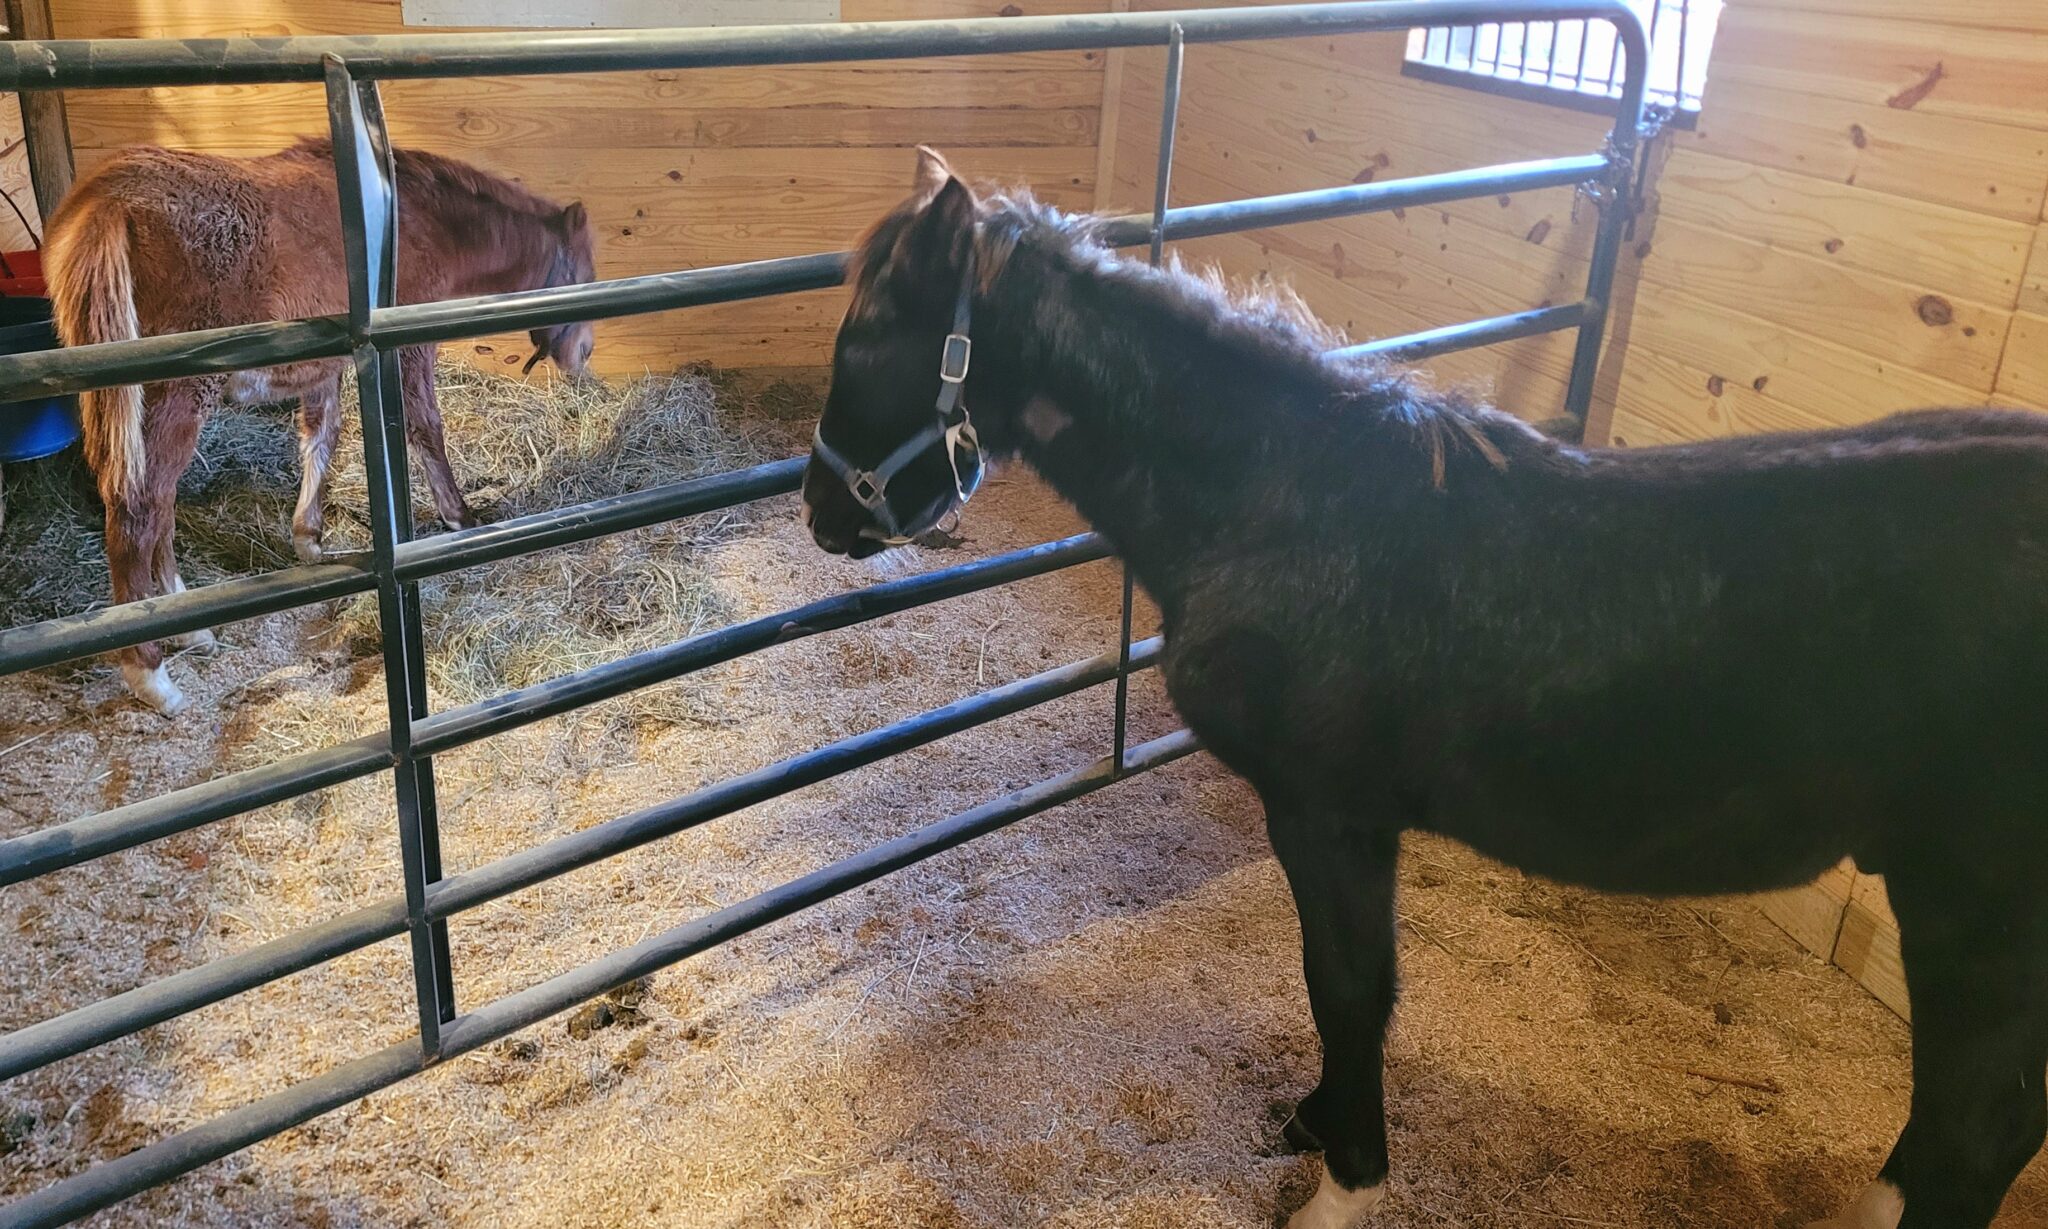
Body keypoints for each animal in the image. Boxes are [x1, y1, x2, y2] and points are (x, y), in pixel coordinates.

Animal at [45, 137, 599, 716]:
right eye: (581, 273)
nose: (583, 354)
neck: (416, 220)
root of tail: (105, 204)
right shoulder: (406, 351)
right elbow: (425, 427)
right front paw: (459, 518)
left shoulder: (326, 368)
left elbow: (321, 439)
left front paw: (309, 539)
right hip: (175, 397)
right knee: (142, 507)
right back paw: (153, 673)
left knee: (159, 504)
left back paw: (189, 627)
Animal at [800, 147, 2048, 1229]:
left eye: (867, 333)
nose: (820, 511)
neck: (1284, 503)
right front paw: (1311, 1122)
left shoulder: (1331, 813)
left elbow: (1349, 986)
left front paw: (1343, 1182)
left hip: (1975, 907)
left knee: (1978, 1123)